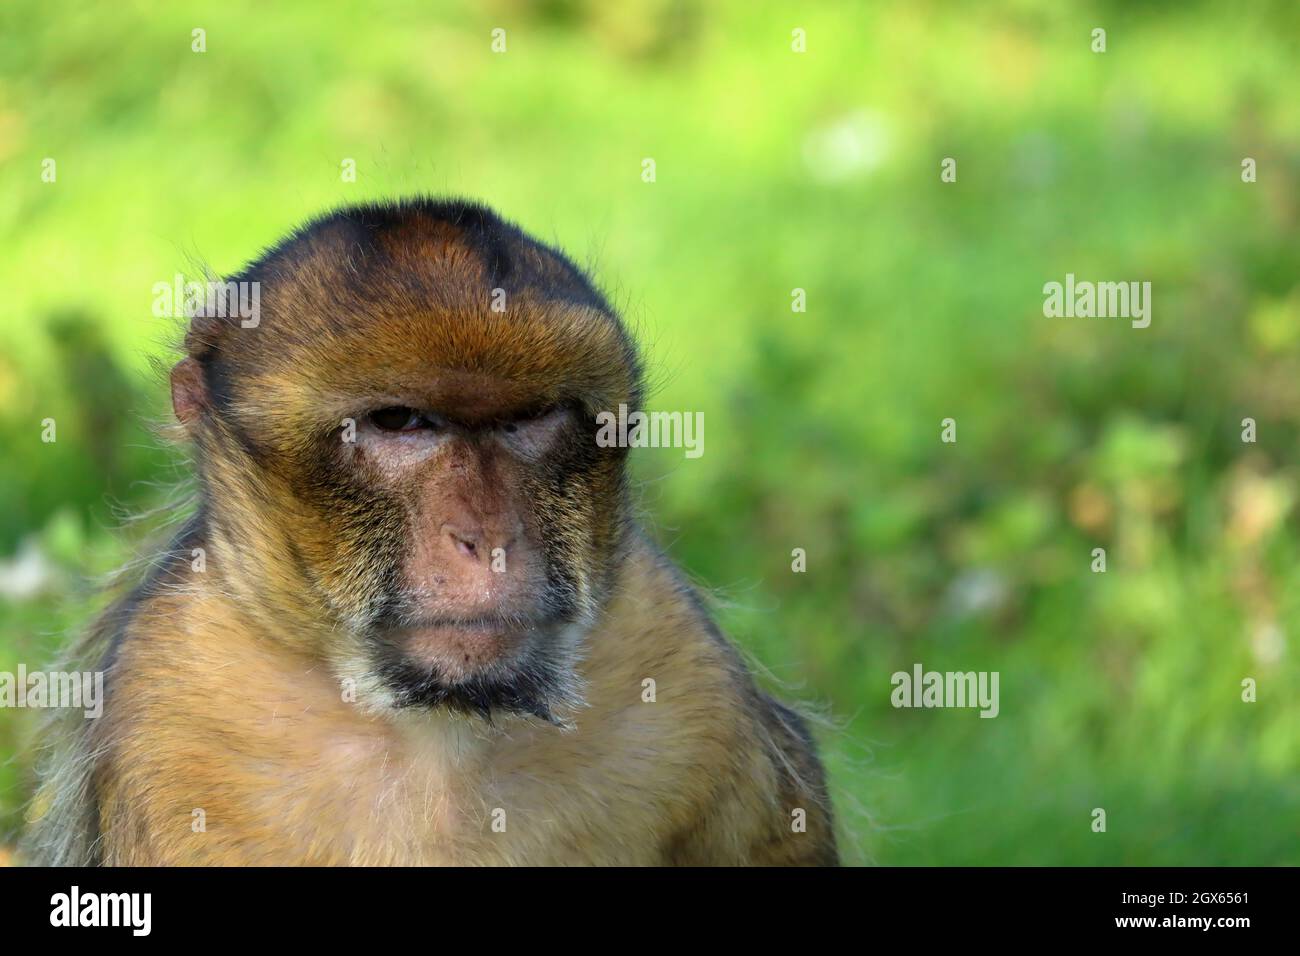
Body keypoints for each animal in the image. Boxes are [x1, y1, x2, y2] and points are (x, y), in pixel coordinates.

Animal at [22, 198, 838, 866]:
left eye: (528, 420)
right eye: (399, 422)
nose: (485, 537)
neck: (438, 727)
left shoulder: (683, 671)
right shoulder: (169, 708)